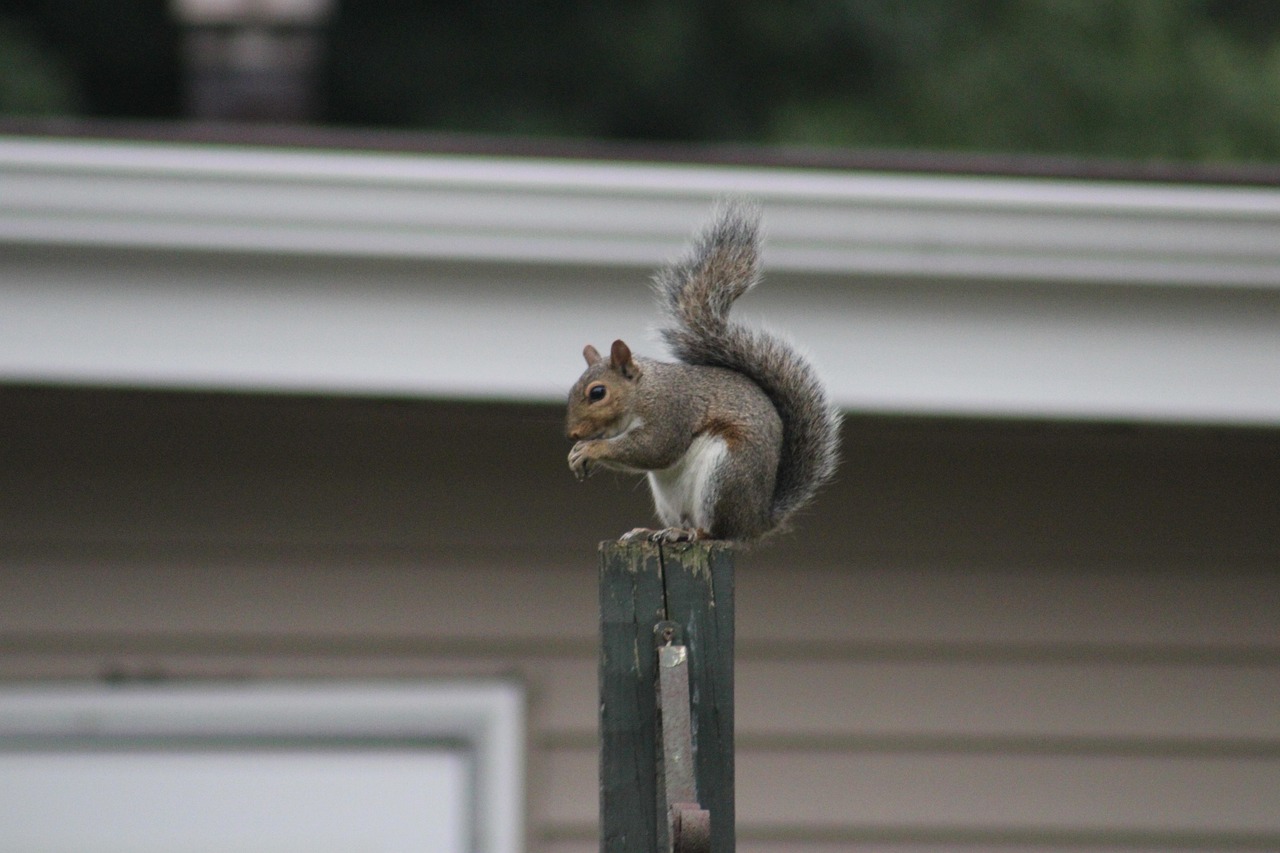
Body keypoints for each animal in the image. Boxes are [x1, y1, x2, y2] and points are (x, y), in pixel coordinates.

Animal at [565, 200, 841, 544]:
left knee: (716, 532)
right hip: (671, 497)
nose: (572, 434)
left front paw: (591, 449)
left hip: (724, 476)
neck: (644, 393)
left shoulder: (672, 411)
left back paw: (690, 533)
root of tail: (756, 522)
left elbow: (654, 448)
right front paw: (577, 453)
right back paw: (655, 531)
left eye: (598, 393)